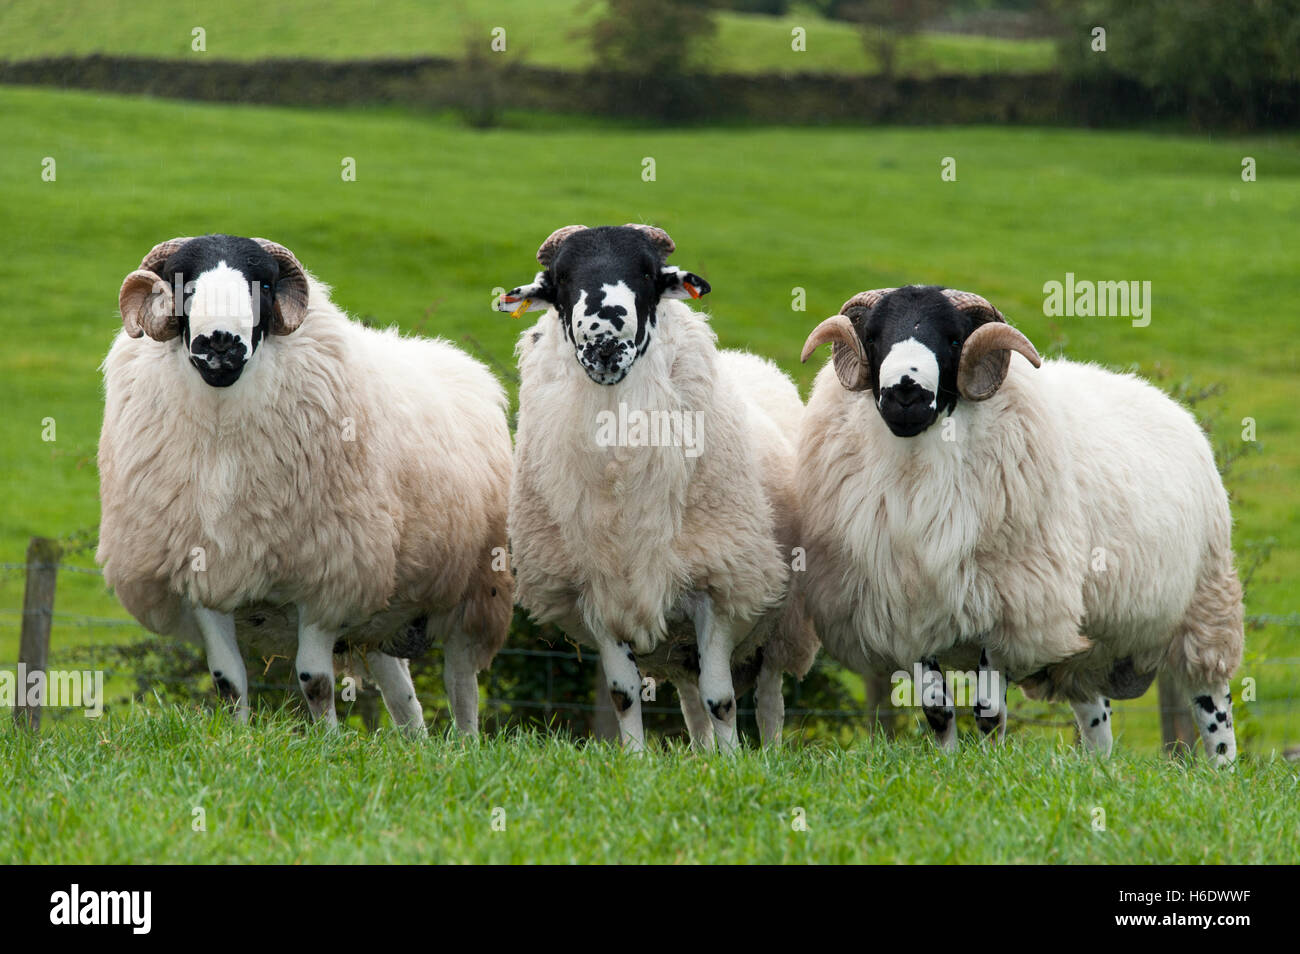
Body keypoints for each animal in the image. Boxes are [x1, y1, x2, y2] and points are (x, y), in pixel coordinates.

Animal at [98, 234, 513, 733]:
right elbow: (228, 680)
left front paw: (328, 742)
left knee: (461, 683)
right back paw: (416, 742)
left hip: (475, 593)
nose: (219, 343)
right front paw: (237, 738)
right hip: (384, 611)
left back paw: (464, 744)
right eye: (185, 286)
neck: (221, 432)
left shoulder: (328, 576)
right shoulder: (202, 574)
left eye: (261, 286)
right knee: (404, 696)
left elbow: (315, 681)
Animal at [499, 224, 818, 751]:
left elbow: (722, 698)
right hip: (677, 642)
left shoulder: (718, 584)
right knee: (691, 700)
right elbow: (624, 694)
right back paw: (702, 753)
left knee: (768, 698)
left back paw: (766, 751)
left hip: (778, 621)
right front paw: (635, 759)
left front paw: (734, 762)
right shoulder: (599, 594)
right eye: (560, 278)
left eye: (648, 272)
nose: (604, 343)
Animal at [797, 284, 1243, 765]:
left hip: (1204, 607)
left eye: (953, 339)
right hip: (1086, 644)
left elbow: (988, 709)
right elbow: (937, 709)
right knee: (1096, 717)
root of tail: (1168, 404)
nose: (904, 394)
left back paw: (1222, 771)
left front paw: (989, 764)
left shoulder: (1011, 609)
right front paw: (947, 764)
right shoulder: (910, 612)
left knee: (1215, 707)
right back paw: (1098, 769)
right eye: (874, 336)